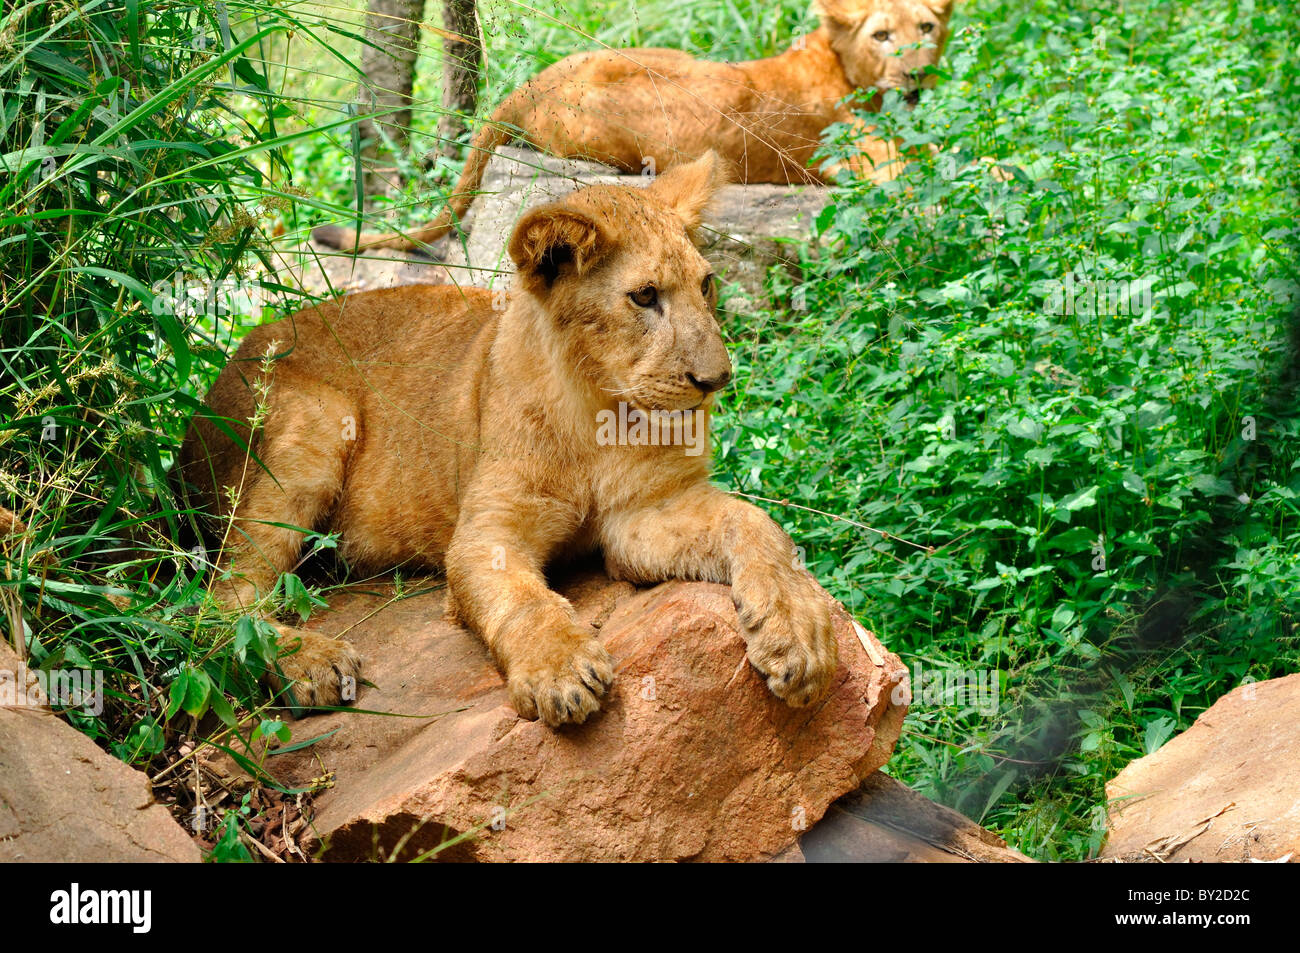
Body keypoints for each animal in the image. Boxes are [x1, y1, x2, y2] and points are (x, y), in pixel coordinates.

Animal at [182, 152, 838, 726]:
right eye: (645, 296)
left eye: (707, 286)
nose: (717, 380)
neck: (598, 410)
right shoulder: (487, 531)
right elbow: (522, 598)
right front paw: (560, 671)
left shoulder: (643, 514)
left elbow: (754, 521)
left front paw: (800, 632)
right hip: (313, 426)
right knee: (219, 598)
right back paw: (312, 663)